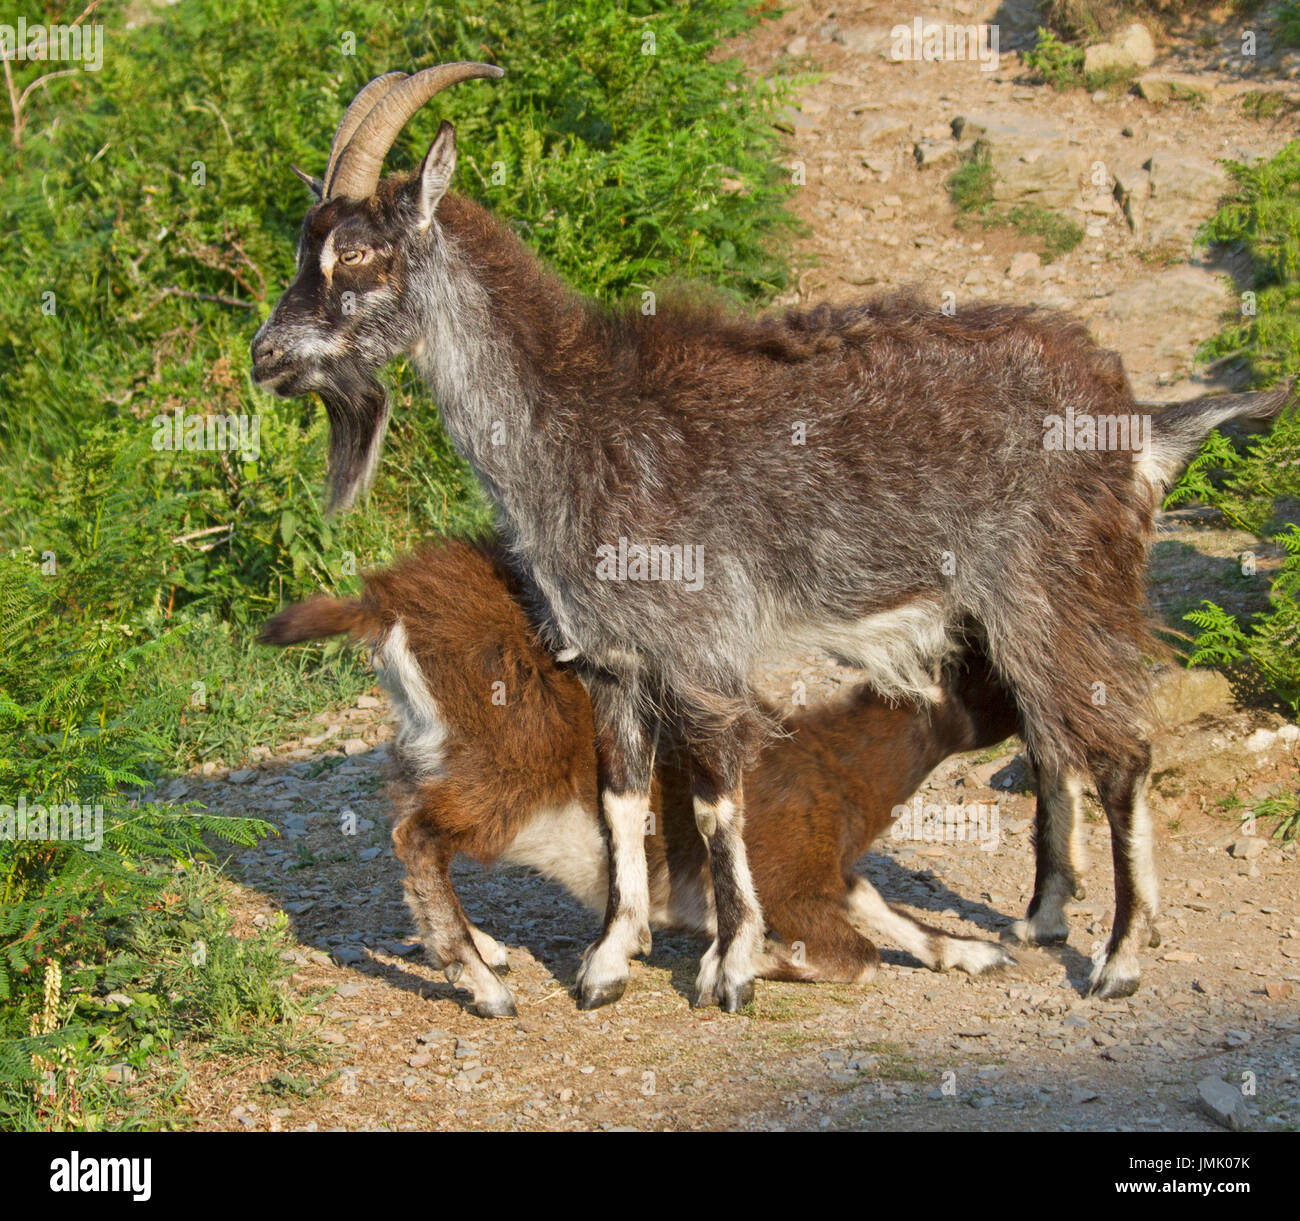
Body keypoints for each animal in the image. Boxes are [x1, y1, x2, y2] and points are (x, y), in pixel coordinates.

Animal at [259, 537, 1019, 1018]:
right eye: (988, 667)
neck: (838, 770)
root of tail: (385, 602)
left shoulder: (827, 871)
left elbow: (880, 904)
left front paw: (976, 953)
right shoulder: (791, 877)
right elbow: (856, 953)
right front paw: (726, 965)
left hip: (429, 750)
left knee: (410, 823)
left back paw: (488, 952)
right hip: (505, 765)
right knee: (418, 836)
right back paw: (487, 988)